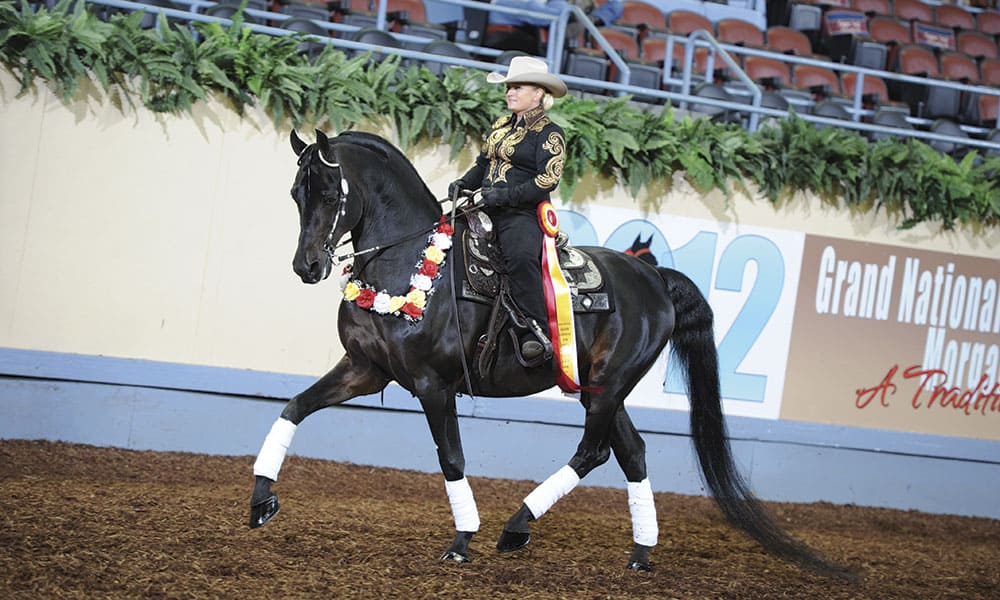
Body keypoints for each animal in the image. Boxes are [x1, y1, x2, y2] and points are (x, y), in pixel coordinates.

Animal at [248, 129, 856, 581]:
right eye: (296, 194)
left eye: (331, 194)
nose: (307, 266)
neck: (411, 260)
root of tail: (654, 276)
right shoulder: (364, 370)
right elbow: (293, 408)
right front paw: (260, 501)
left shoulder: (433, 385)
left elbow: (452, 459)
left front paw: (462, 540)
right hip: (604, 390)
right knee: (632, 453)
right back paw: (640, 554)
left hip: (607, 386)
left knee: (594, 452)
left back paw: (516, 527)